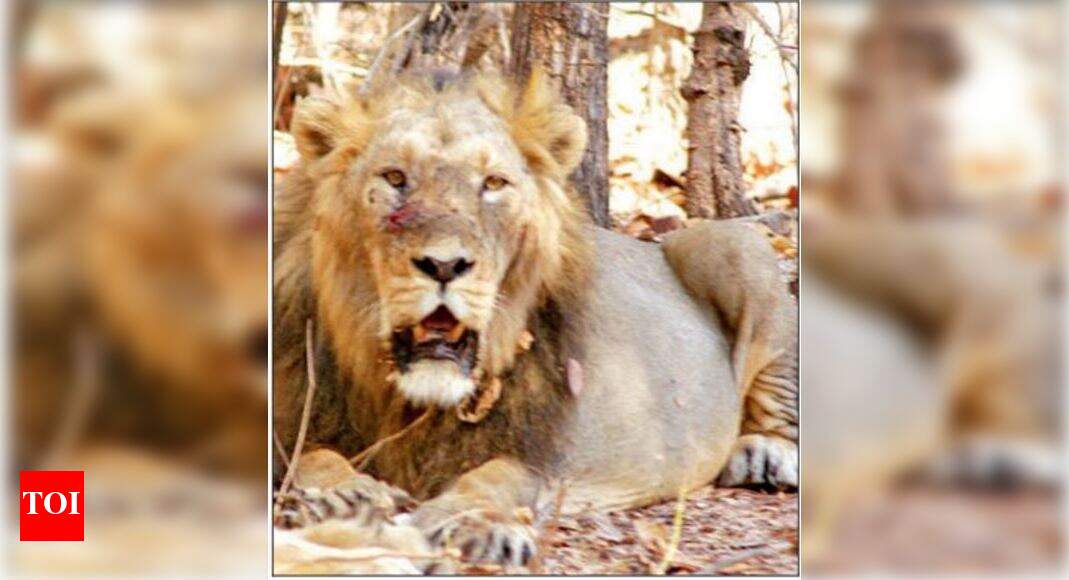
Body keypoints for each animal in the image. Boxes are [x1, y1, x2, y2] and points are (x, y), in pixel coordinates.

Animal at [273, 69, 798, 566]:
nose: (445, 265)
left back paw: (763, 453)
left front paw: (477, 525)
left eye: (492, 184)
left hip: (735, 245)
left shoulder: (537, 450)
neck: (409, 397)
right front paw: (344, 494)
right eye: (395, 178)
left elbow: (495, 479)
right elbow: (311, 456)